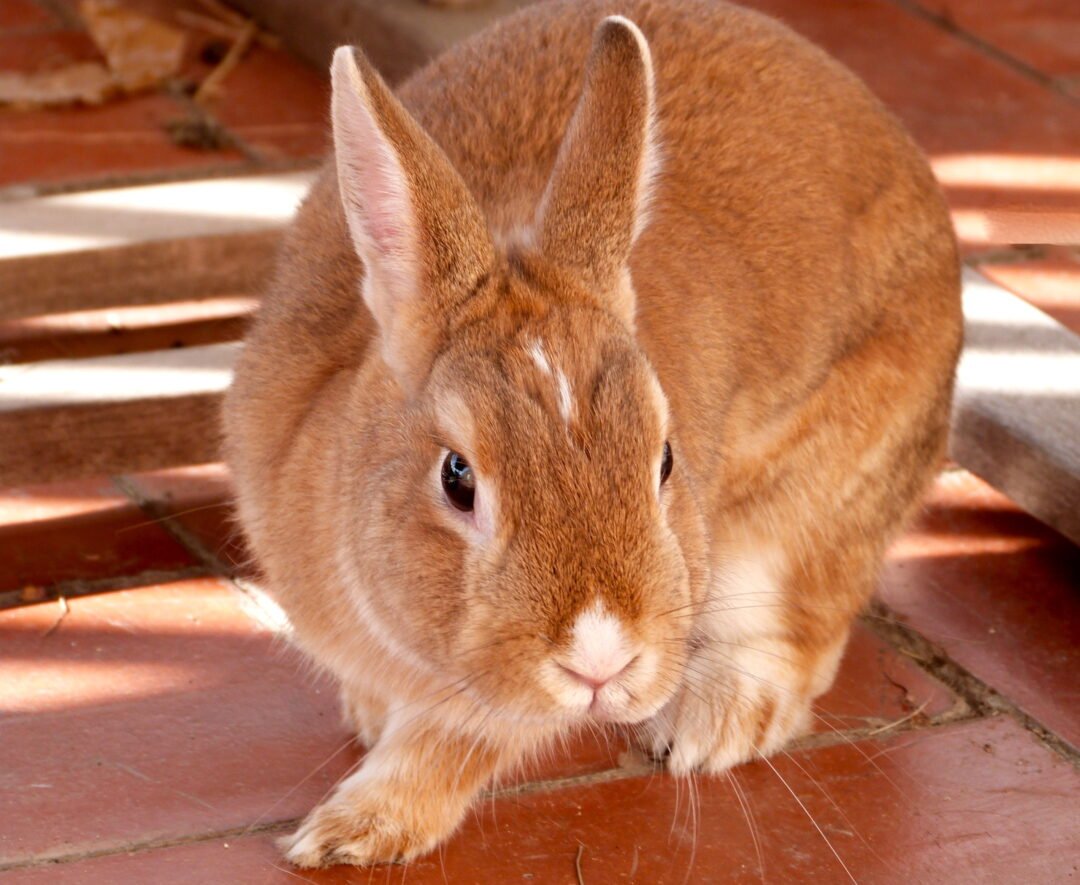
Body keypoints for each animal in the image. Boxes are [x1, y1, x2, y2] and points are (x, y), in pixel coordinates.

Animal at [224, 0, 961, 868]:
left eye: (665, 459)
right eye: (457, 477)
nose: (602, 660)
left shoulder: (500, 702)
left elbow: (458, 743)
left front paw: (347, 832)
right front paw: (366, 730)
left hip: (817, 504)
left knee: (800, 630)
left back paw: (707, 727)